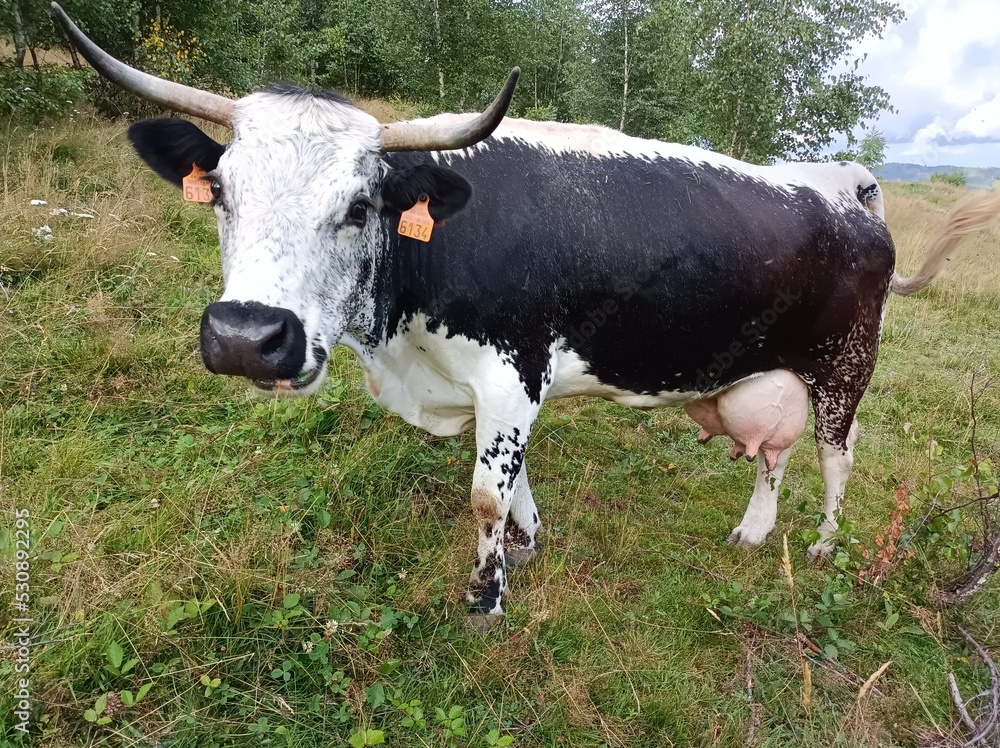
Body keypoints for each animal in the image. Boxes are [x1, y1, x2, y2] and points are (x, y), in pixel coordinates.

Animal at [55, 4, 1000, 628]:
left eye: (359, 205)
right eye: (221, 192)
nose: (247, 337)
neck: (403, 345)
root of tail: (849, 189)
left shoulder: (513, 369)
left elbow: (483, 495)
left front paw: (487, 595)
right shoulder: (491, 388)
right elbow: (511, 488)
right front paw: (528, 546)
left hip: (846, 365)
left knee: (838, 459)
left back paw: (828, 548)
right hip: (758, 373)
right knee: (773, 454)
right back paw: (753, 531)